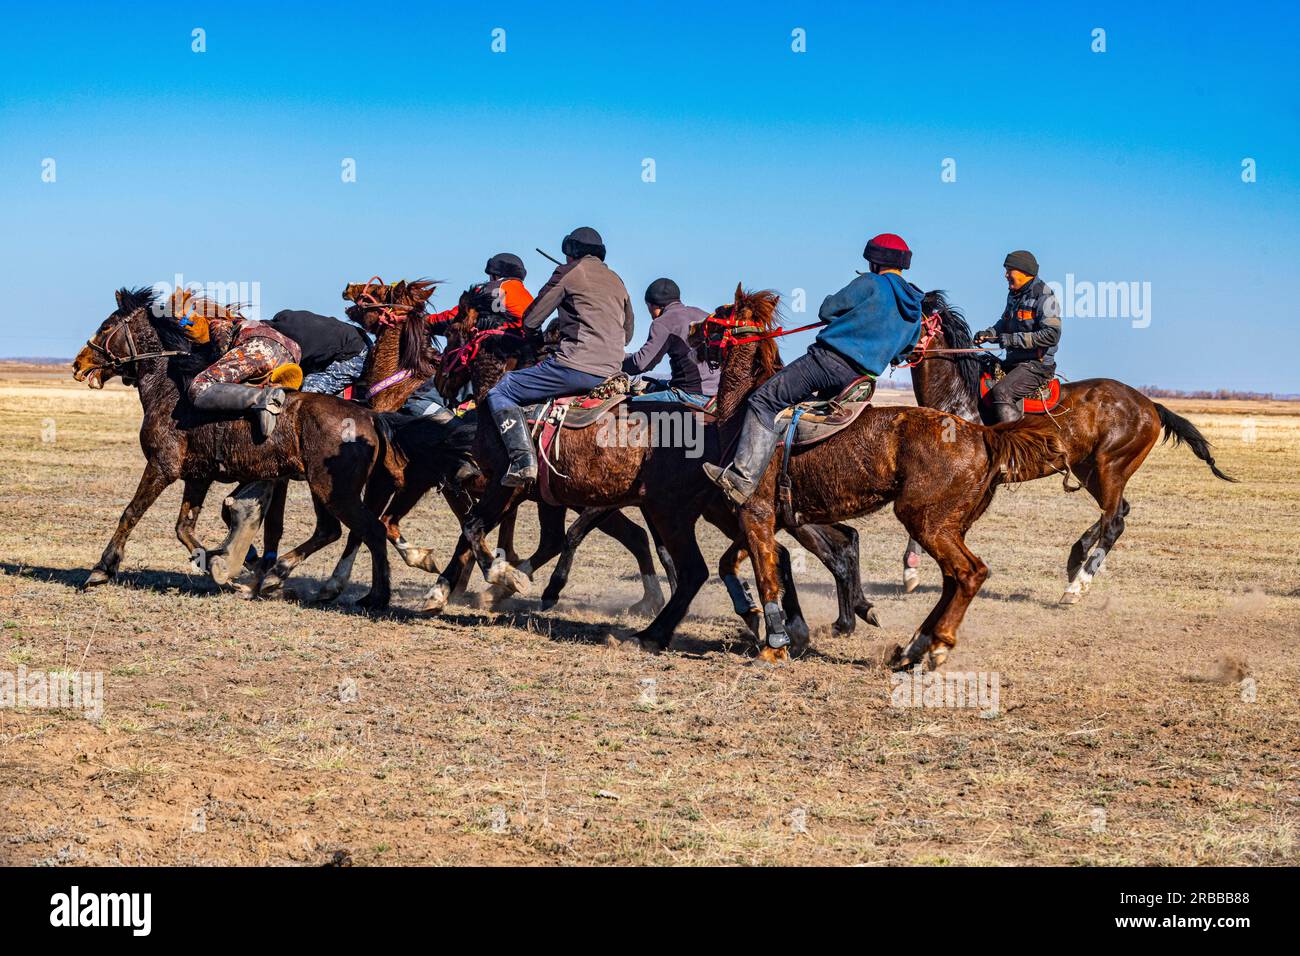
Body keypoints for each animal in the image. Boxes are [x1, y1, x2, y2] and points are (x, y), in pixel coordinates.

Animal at [71, 287, 398, 607]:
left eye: (106, 327)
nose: (77, 364)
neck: (170, 392)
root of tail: (369, 417)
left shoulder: (162, 467)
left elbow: (131, 512)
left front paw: (102, 569)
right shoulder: (198, 477)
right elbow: (184, 527)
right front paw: (221, 565)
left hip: (335, 491)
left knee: (371, 530)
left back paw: (374, 596)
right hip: (323, 489)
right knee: (331, 530)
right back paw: (277, 576)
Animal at [692, 286, 1066, 668]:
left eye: (719, 313)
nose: (692, 330)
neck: (742, 408)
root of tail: (981, 434)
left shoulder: (757, 514)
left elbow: (766, 574)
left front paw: (773, 645)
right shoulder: (774, 518)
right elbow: (746, 564)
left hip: (927, 522)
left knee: (969, 573)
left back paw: (937, 643)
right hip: (948, 526)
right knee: (950, 579)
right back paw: (914, 646)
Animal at [903, 292, 1235, 604]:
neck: (958, 397)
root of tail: (1149, 405)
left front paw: (911, 569)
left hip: (1110, 467)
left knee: (1114, 522)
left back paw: (1076, 586)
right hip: (1088, 469)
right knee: (1118, 510)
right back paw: (1077, 555)